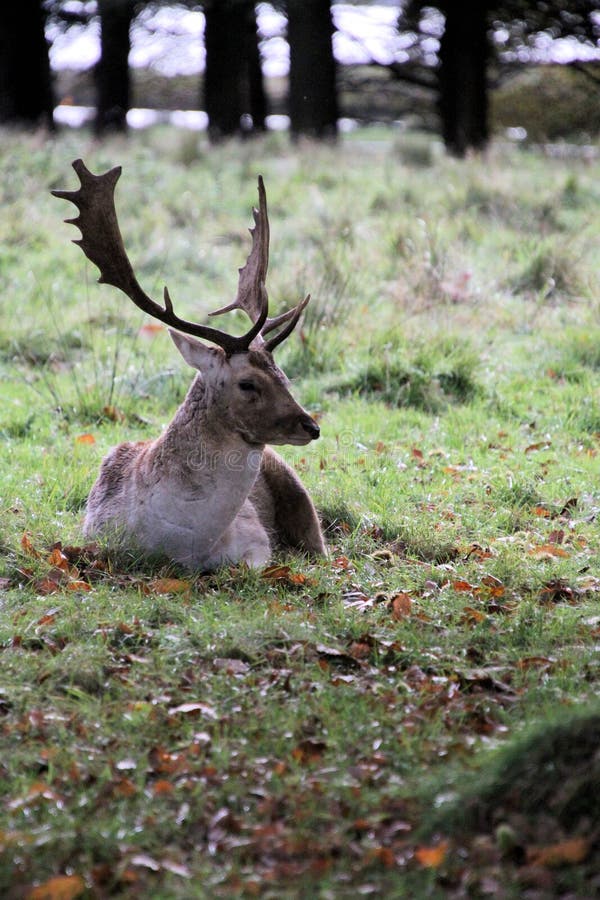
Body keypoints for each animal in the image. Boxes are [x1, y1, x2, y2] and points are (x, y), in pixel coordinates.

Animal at [53, 159, 326, 571]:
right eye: (248, 383)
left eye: (284, 376)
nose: (311, 426)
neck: (184, 545)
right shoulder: (96, 535)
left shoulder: (257, 538)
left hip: (298, 492)